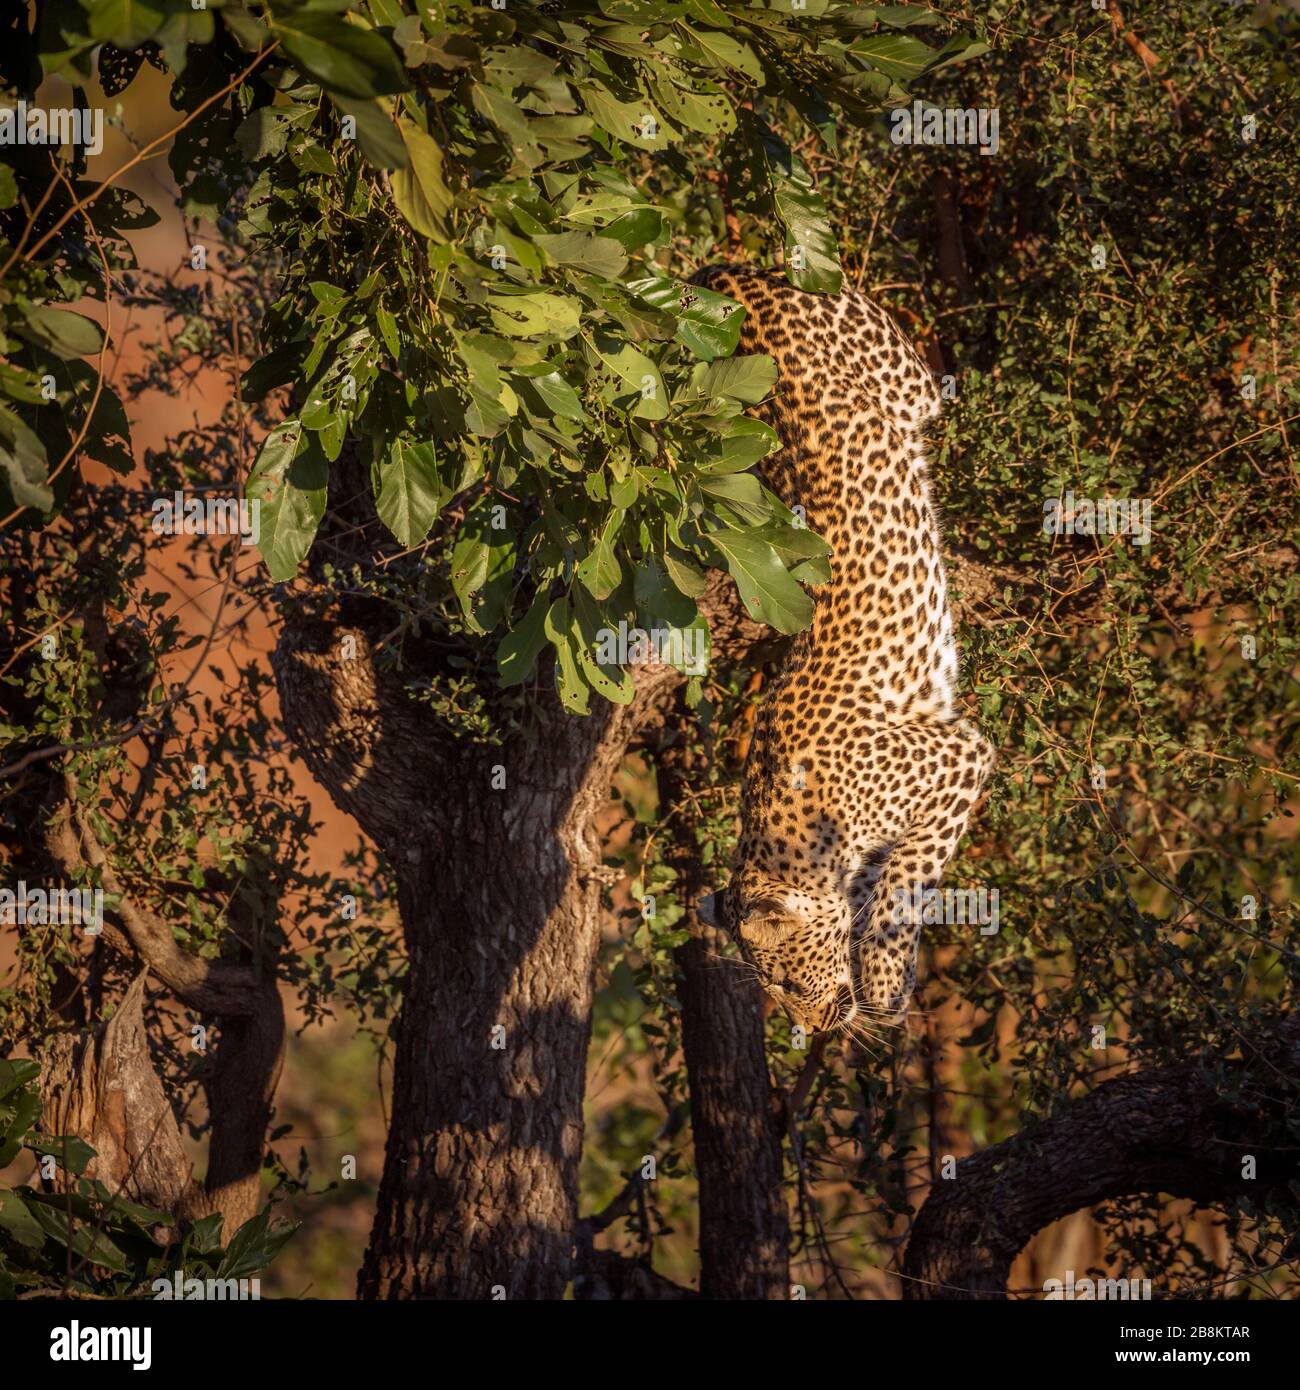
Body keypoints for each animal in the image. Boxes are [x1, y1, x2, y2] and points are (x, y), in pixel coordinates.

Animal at [691, 265, 995, 1041]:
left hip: (904, 381)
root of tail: (727, 275)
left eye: (786, 978)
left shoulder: (959, 755)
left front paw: (884, 980)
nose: (813, 1028)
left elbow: (906, 876)